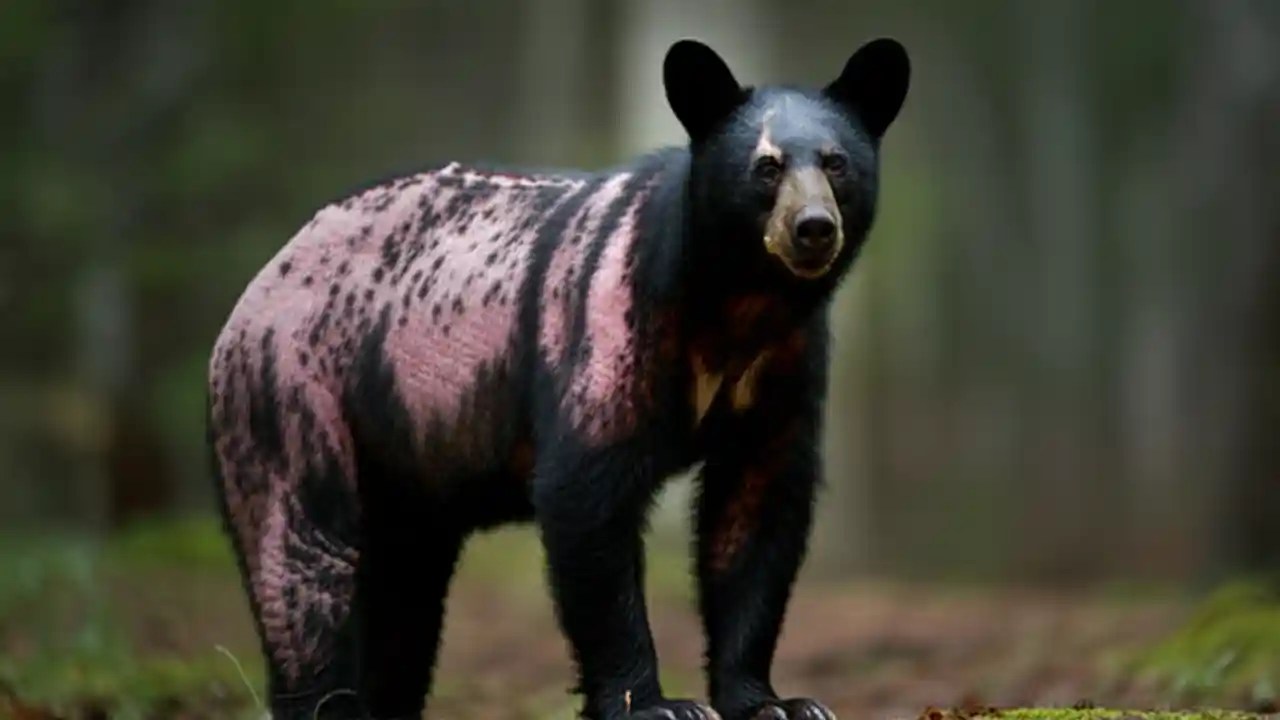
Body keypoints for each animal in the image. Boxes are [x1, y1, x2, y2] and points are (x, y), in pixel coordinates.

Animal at [206, 36, 909, 720]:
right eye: (765, 166)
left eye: (837, 162)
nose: (812, 228)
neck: (740, 306)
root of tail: (253, 290)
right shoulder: (609, 327)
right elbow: (585, 501)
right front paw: (655, 705)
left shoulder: (785, 369)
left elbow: (754, 518)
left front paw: (775, 703)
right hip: (292, 389)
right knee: (306, 560)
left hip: (406, 458)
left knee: (404, 598)